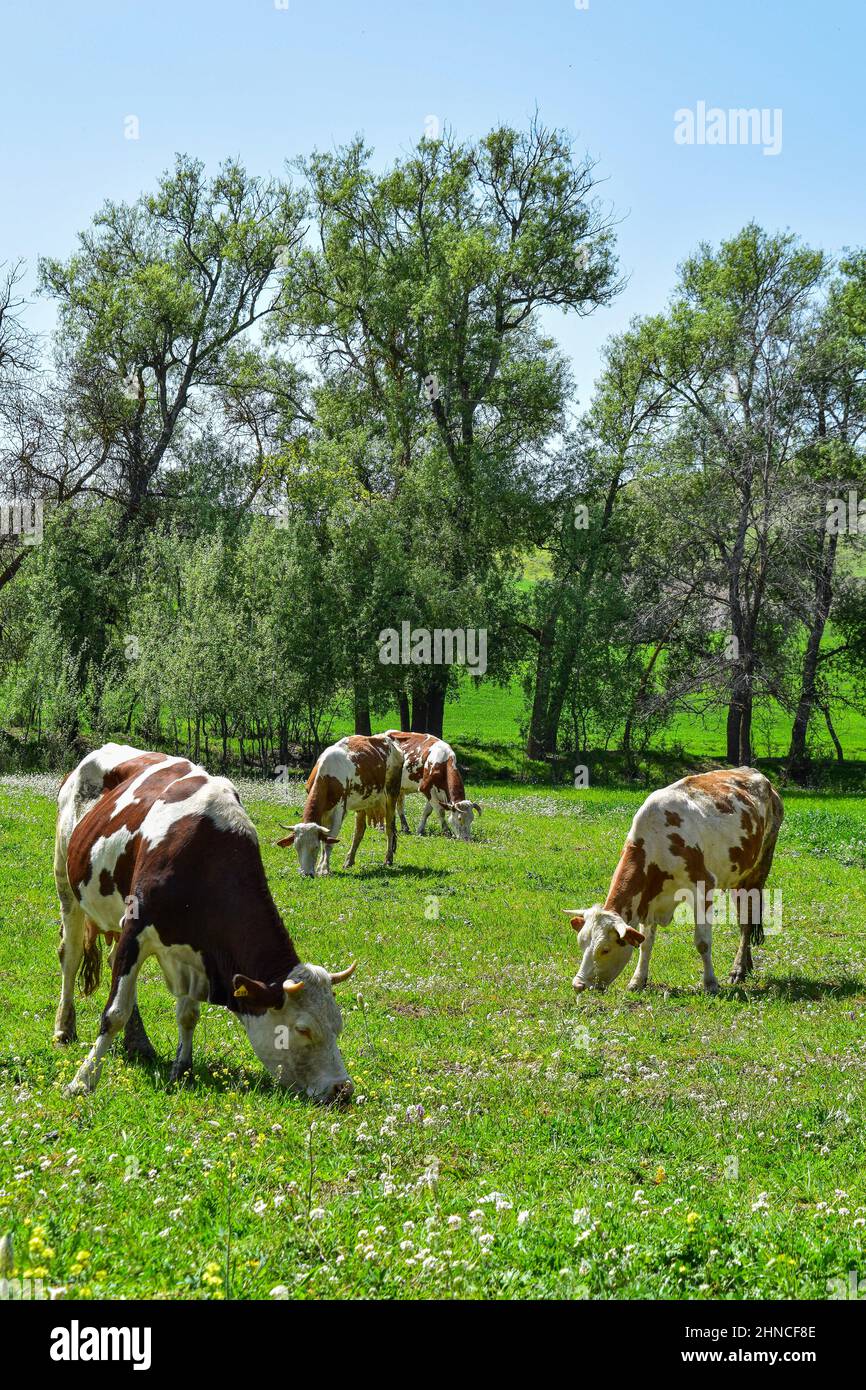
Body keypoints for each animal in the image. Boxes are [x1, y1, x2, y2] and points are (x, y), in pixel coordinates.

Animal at [54, 743, 356, 1103]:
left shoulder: (197, 953)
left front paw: (182, 1069)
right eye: (303, 1029)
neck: (204, 856)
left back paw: (138, 1043)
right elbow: (114, 1013)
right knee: (71, 956)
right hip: (65, 880)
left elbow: (188, 1014)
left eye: (338, 1024)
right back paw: (64, 1027)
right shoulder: (136, 930)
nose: (342, 1089)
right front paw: (83, 1080)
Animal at [277, 734, 404, 876]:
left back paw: (388, 859)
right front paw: (321, 866)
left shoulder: (339, 811)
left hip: (392, 792)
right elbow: (326, 838)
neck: (327, 776)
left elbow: (328, 842)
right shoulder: (324, 812)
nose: (306, 874)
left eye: (315, 847)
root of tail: (388, 739)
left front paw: (324, 869)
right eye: (296, 847)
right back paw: (349, 861)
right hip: (362, 802)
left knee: (389, 827)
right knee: (359, 831)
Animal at [566, 768, 783, 995]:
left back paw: (739, 969)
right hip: (737, 876)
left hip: (759, 869)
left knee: (748, 919)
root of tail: (753, 772)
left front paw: (710, 983)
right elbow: (645, 943)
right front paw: (638, 980)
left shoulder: (703, 888)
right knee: (743, 918)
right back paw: (745, 966)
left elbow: (702, 943)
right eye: (581, 943)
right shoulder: (649, 899)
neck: (656, 843)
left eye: (605, 949)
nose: (578, 984)